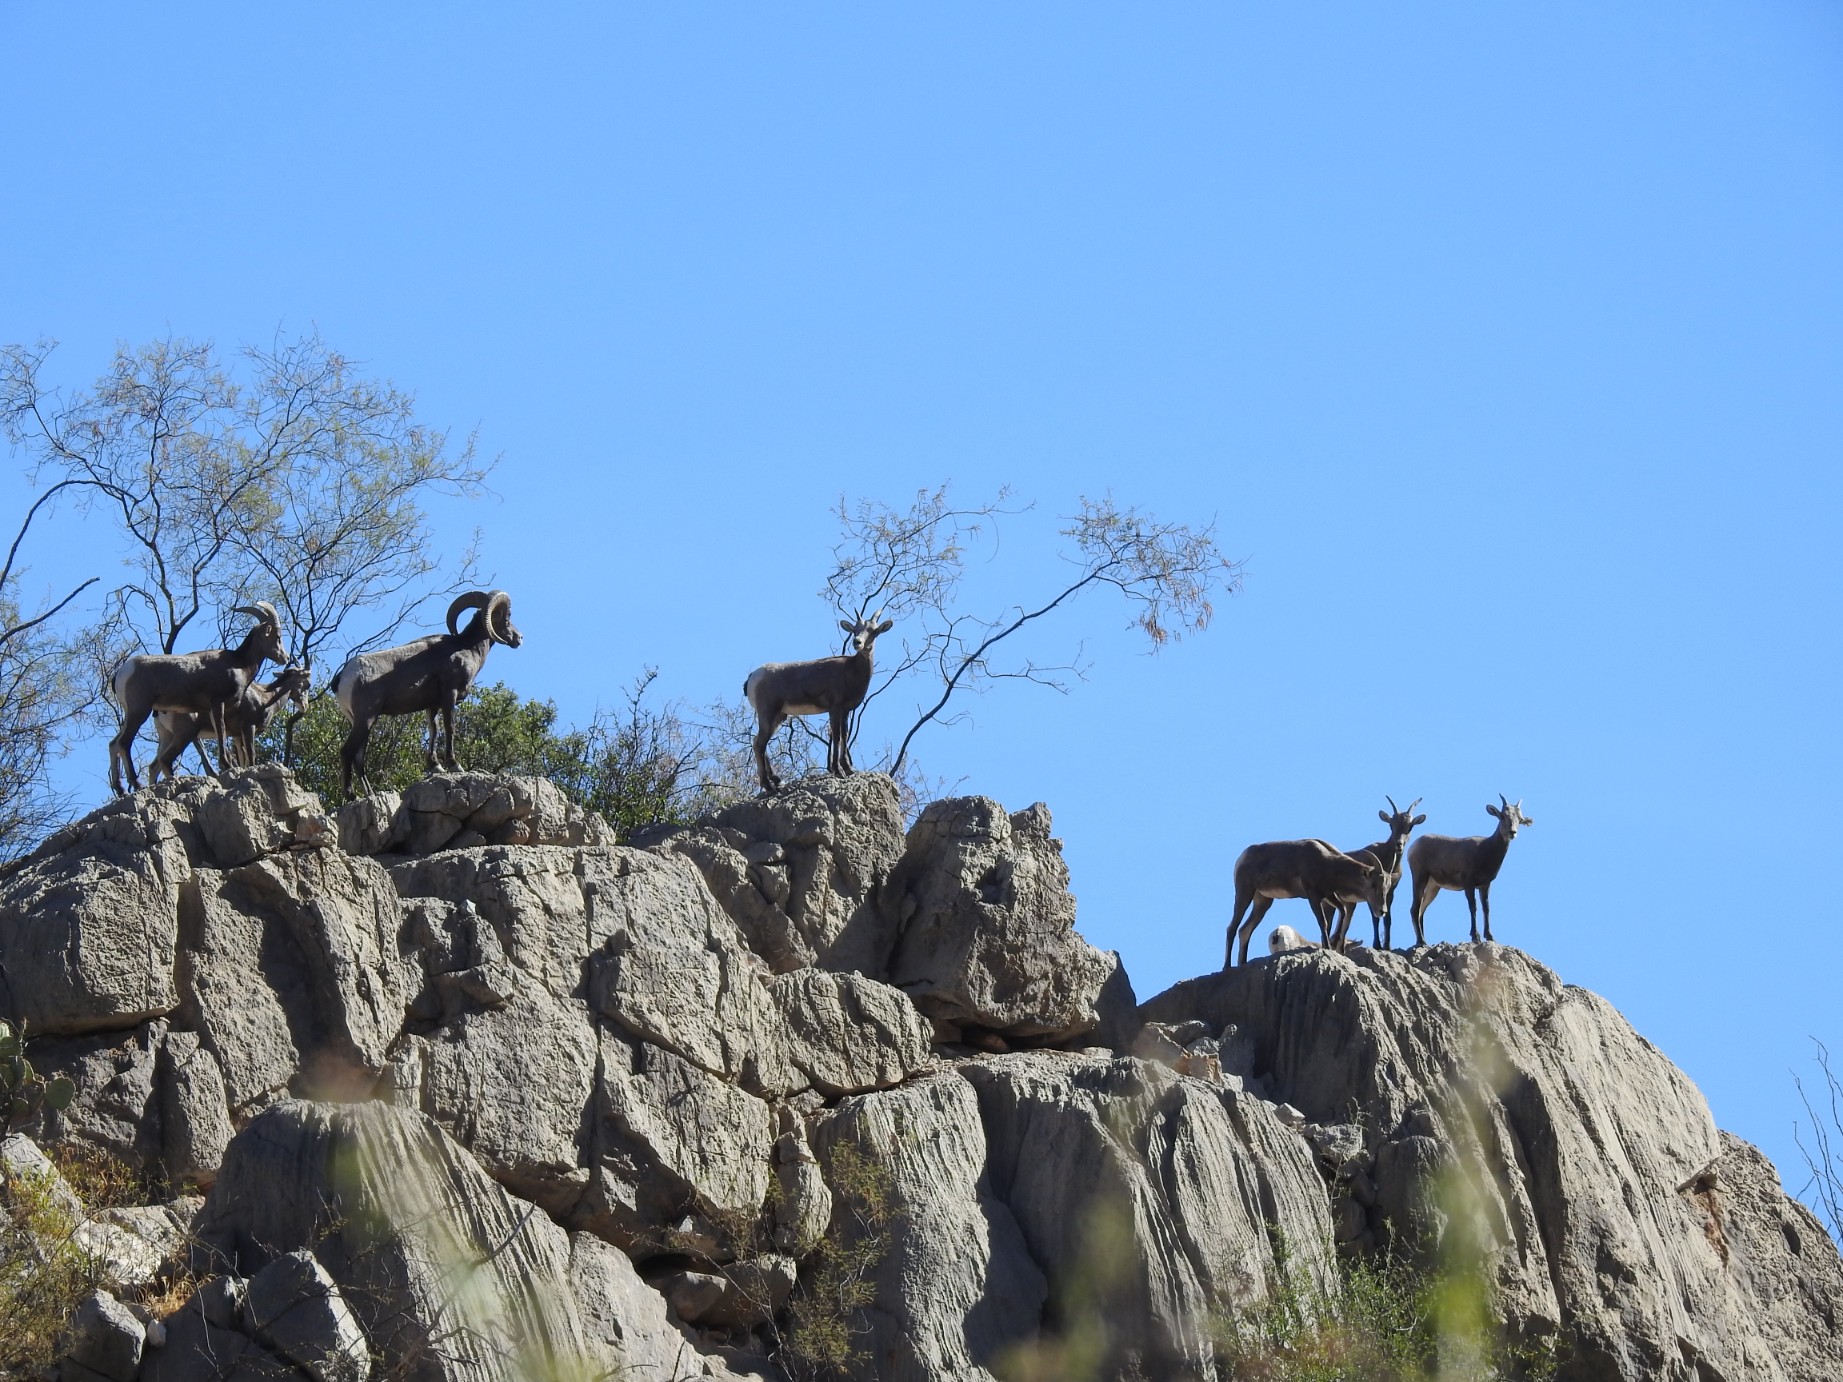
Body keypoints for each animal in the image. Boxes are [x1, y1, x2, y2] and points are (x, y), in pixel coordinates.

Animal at [743, 614, 893, 794]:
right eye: (855, 630)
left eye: (873, 631)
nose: (857, 642)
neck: (852, 670)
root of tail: (753, 676)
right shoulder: (834, 709)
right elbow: (836, 736)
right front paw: (838, 771)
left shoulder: (845, 711)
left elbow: (844, 735)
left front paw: (848, 769)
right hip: (768, 713)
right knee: (759, 744)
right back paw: (769, 786)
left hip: (779, 717)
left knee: (758, 741)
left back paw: (777, 780)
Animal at [1224, 838, 1387, 969]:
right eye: (1373, 885)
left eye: (1385, 887)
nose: (1382, 911)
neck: (1329, 862)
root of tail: (1242, 857)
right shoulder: (1313, 895)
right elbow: (1323, 922)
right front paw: (1328, 947)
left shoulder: (1328, 895)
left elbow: (1342, 911)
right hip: (1245, 893)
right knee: (1232, 928)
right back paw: (1227, 967)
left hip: (1262, 902)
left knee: (1244, 930)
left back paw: (1242, 963)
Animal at [1404, 795, 1534, 946]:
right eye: (1502, 816)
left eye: (1520, 819)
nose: (1512, 832)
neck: (1485, 850)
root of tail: (1413, 847)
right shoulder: (1468, 884)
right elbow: (1473, 907)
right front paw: (1475, 937)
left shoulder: (1485, 885)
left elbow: (1486, 908)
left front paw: (1490, 936)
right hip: (1420, 878)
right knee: (1414, 908)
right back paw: (1421, 941)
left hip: (1433, 887)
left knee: (1421, 910)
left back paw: (1423, 940)